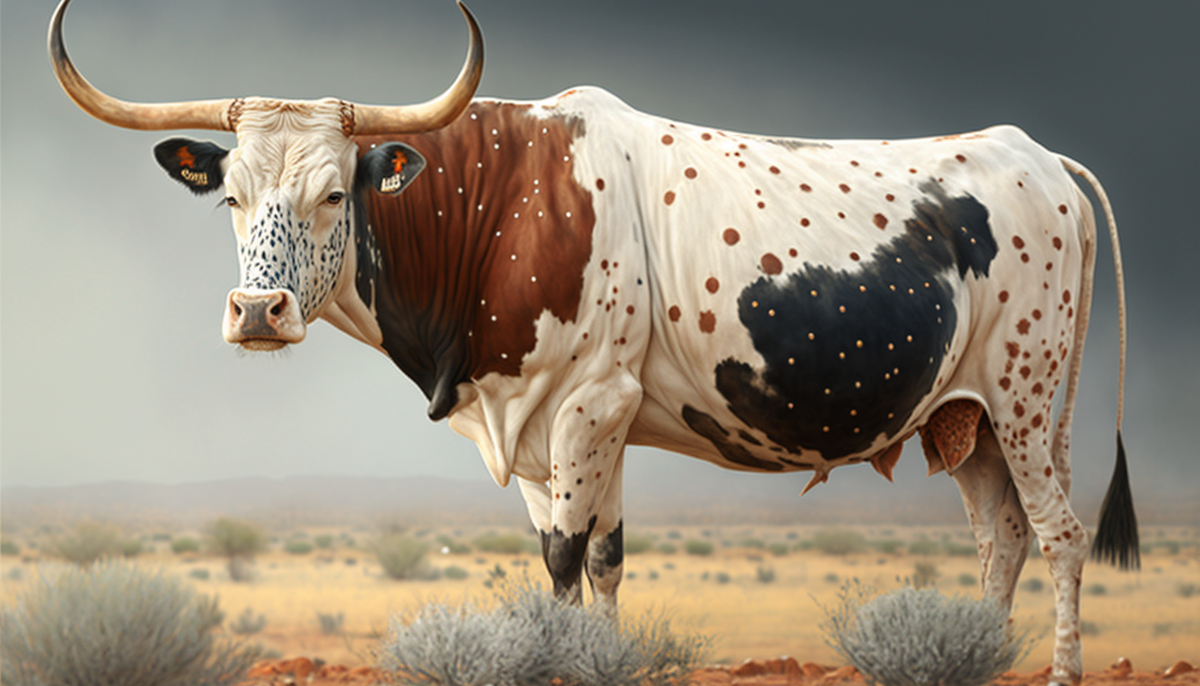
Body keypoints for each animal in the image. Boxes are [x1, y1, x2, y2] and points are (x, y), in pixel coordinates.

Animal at [49, 1, 1138, 683]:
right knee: (1001, 536)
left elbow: (565, 561)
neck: (497, 206)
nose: (258, 311)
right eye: (230, 196)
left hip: (1030, 400)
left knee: (1057, 534)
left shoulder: (583, 407)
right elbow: (604, 559)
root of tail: (1036, 153)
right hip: (968, 417)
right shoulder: (561, 424)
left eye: (332, 193)